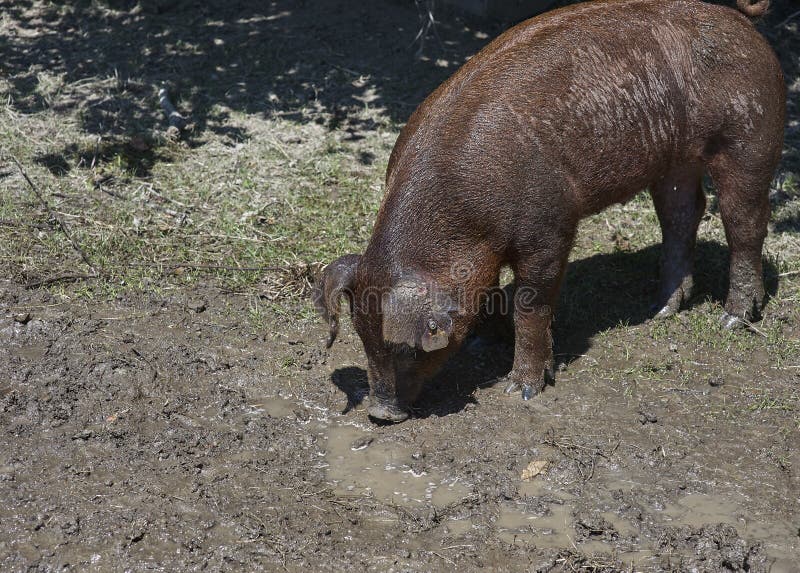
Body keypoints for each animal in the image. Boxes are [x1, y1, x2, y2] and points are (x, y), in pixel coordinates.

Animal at [314, 0, 785, 422]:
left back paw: (733, 319)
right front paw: (486, 340)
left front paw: (521, 389)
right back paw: (660, 310)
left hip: (751, 137)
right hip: (676, 160)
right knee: (682, 214)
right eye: (363, 336)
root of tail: (742, 21)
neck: (462, 218)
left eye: (406, 346)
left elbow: (531, 303)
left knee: (744, 222)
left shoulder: (550, 227)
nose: (380, 414)